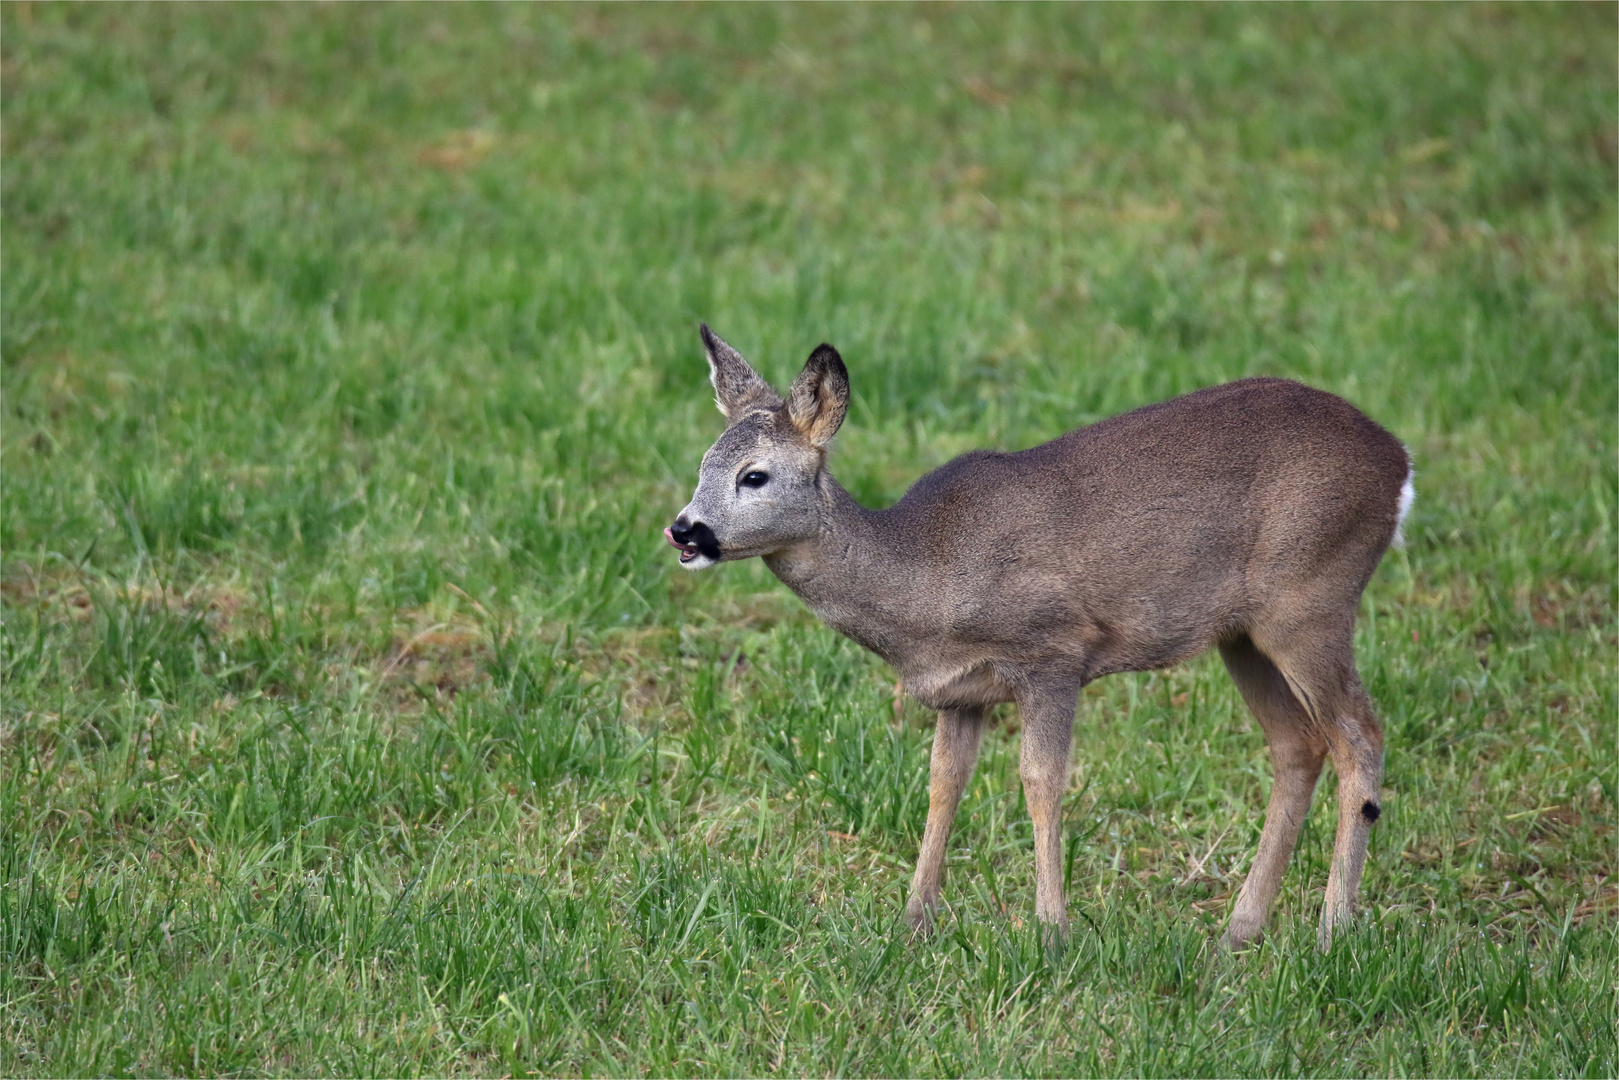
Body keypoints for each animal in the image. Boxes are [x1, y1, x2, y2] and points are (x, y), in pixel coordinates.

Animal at [663, 325, 1411, 952]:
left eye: (754, 475)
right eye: (702, 464)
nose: (684, 530)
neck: (925, 575)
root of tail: (1398, 462)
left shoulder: (1053, 653)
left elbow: (1040, 779)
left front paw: (1052, 930)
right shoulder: (960, 691)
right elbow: (943, 782)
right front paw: (913, 921)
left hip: (1311, 596)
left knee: (1360, 734)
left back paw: (1332, 930)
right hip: (1244, 633)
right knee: (1298, 745)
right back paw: (1238, 932)